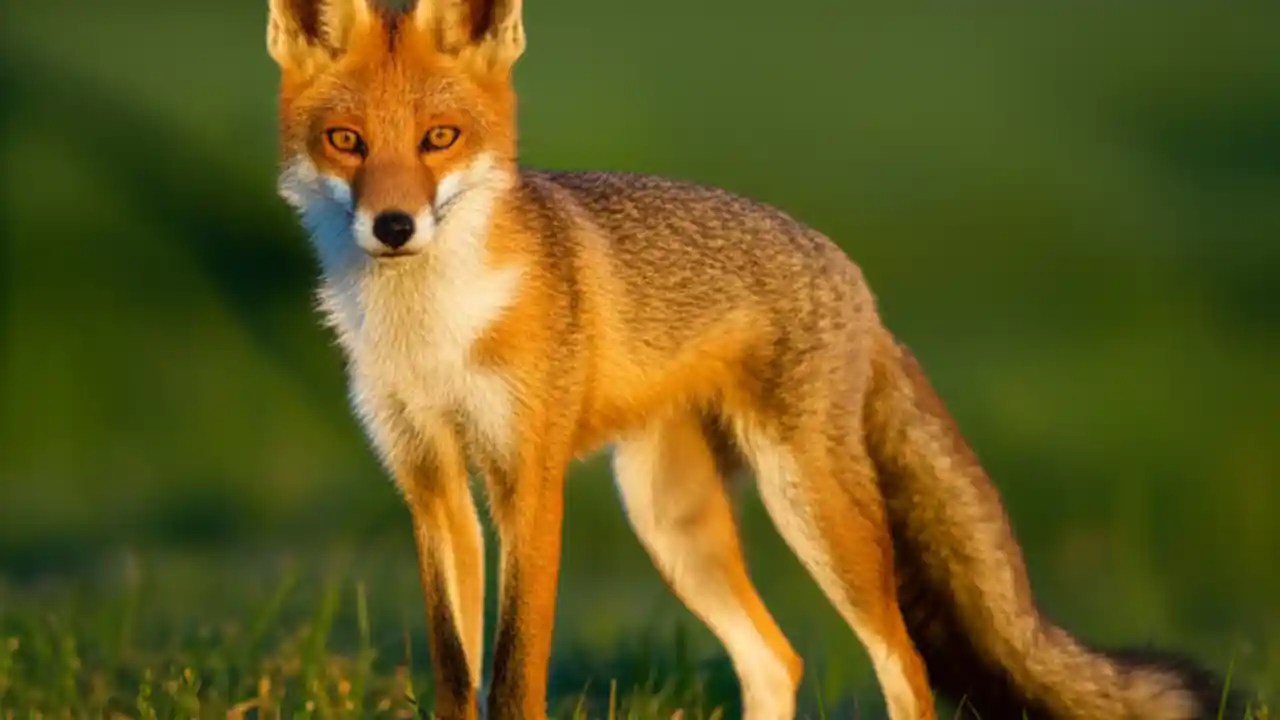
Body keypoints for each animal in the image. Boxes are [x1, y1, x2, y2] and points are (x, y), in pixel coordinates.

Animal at [265, 1, 1237, 718]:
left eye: (441, 138)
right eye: (347, 141)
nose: (395, 226)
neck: (429, 331)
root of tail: (851, 277)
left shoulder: (527, 484)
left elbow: (512, 675)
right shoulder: (430, 486)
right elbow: (455, 670)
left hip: (813, 509)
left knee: (904, 665)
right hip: (670, 519)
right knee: (778, 661)